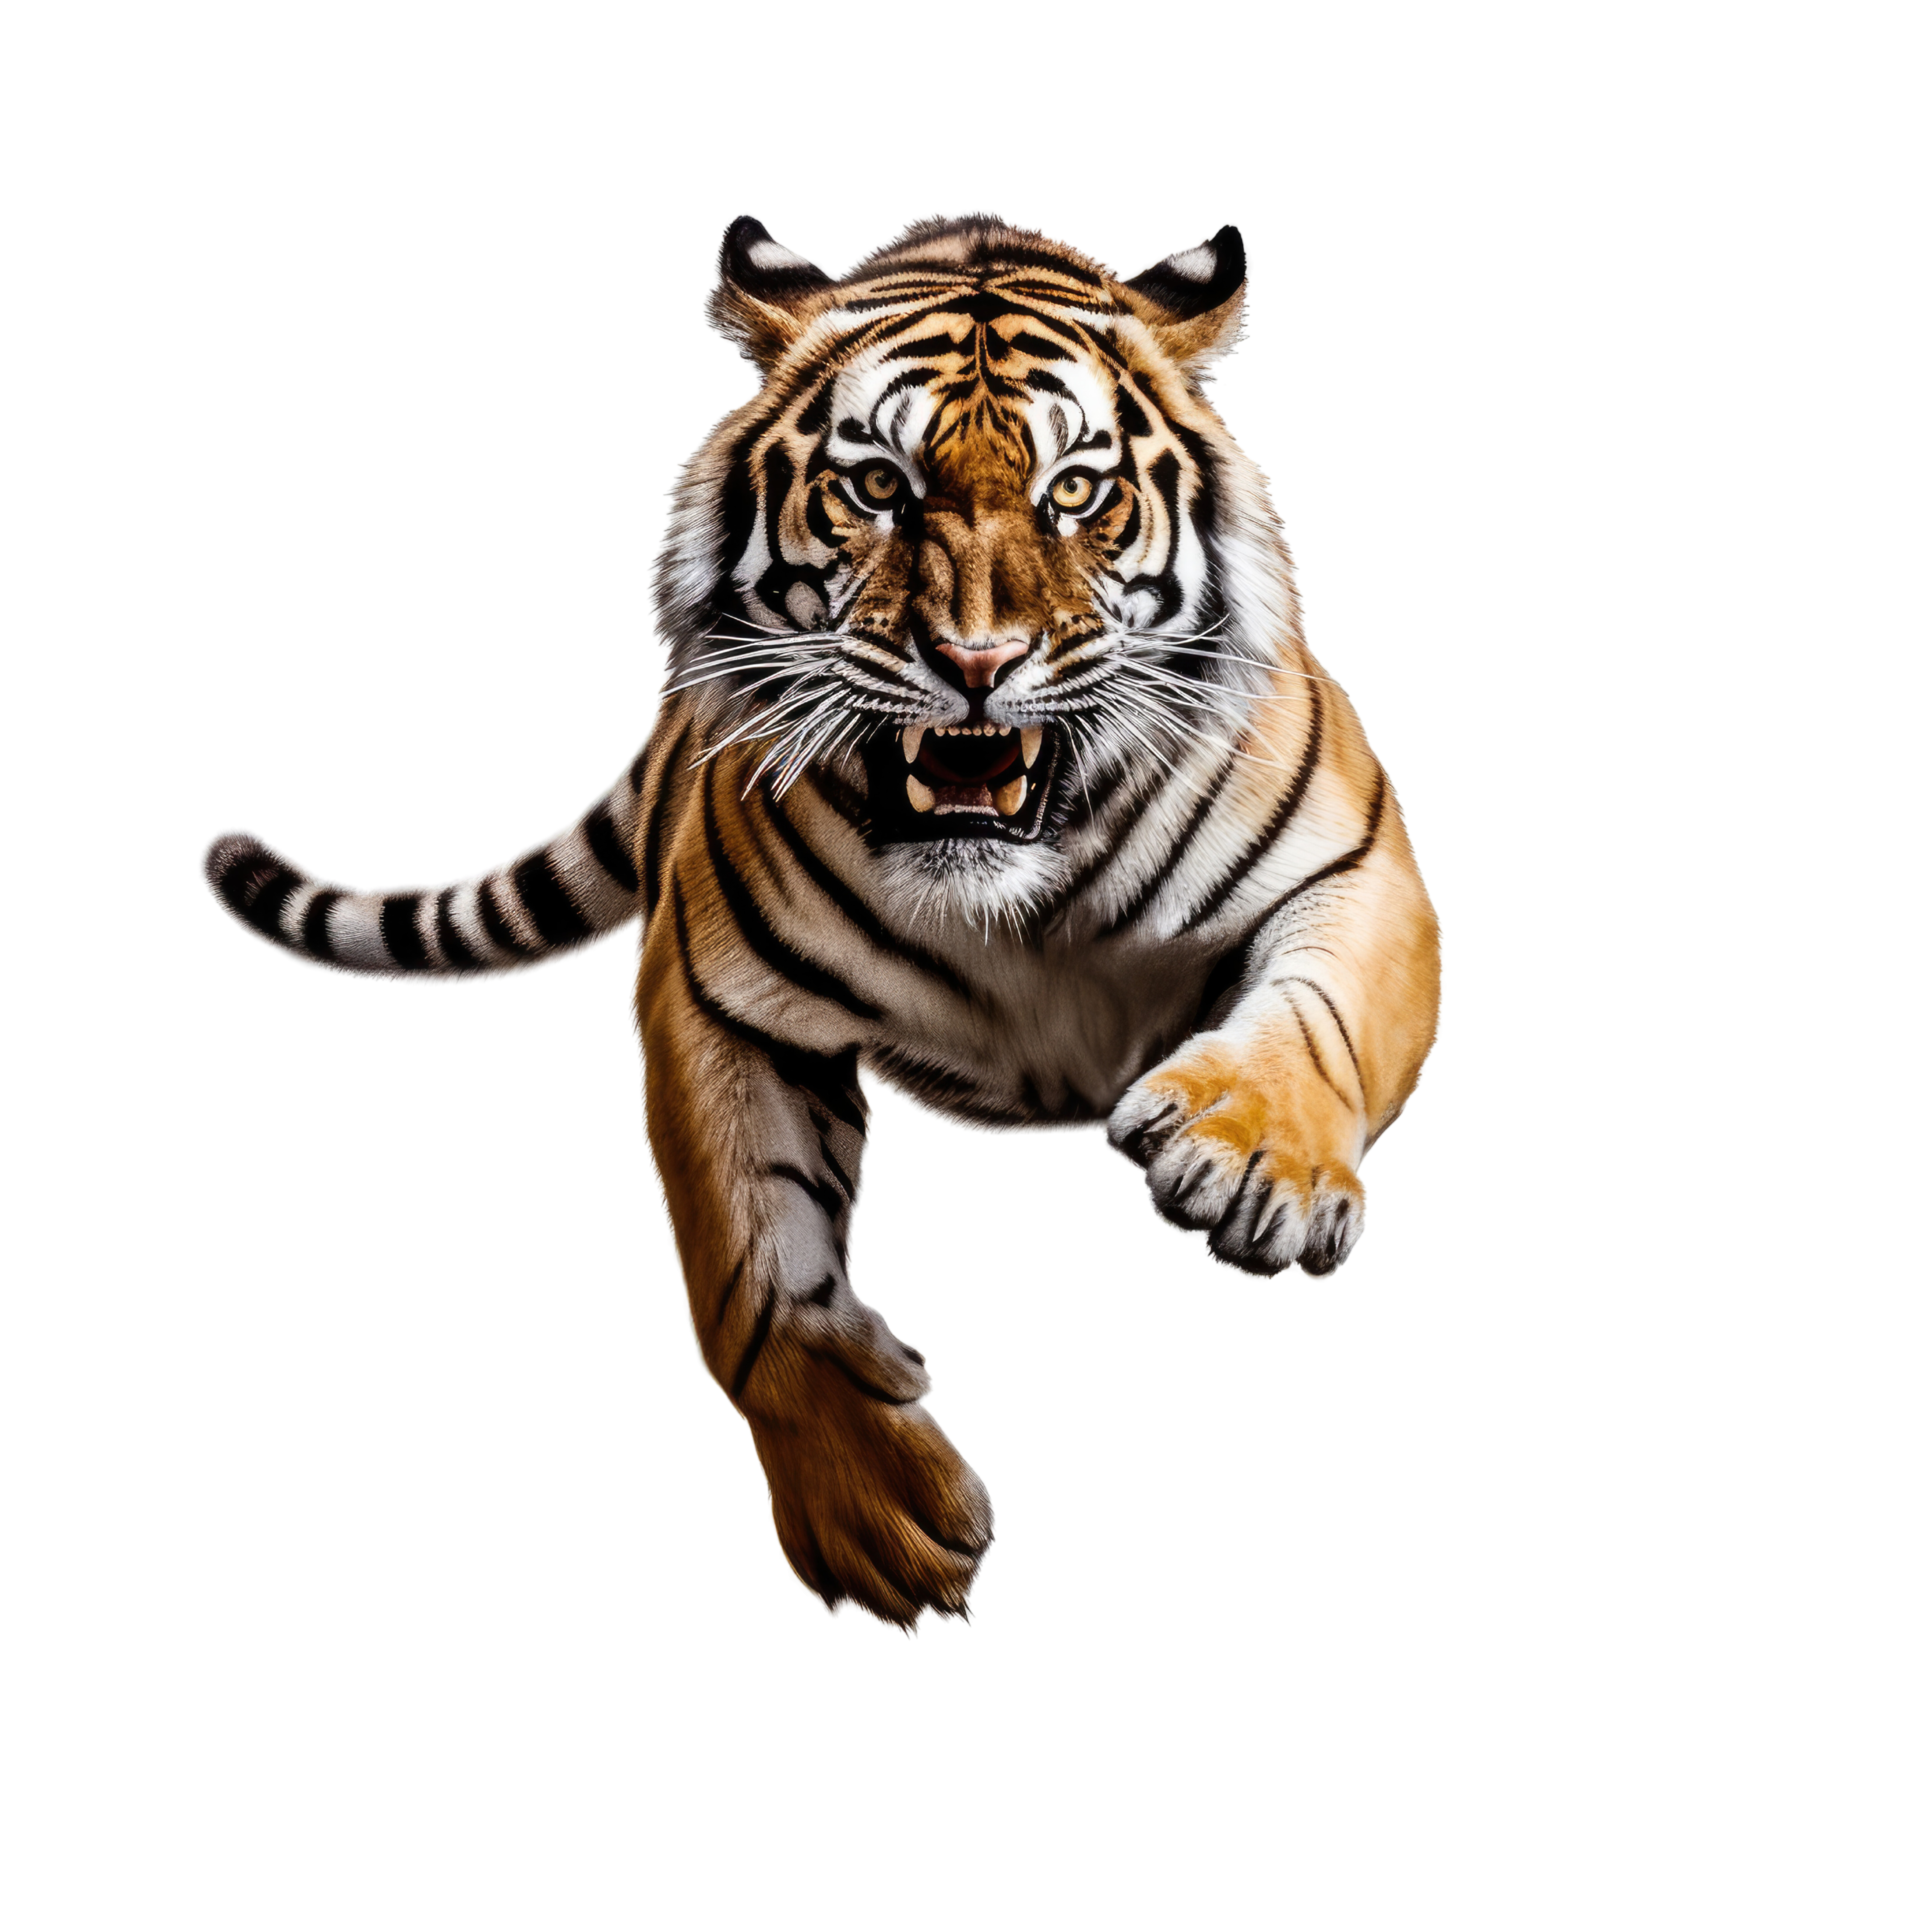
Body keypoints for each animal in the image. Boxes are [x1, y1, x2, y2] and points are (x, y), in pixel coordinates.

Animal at [198, 208, 1446, 1635]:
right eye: (880, 488)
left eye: (1077, 492)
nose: (977, 662)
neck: (1020, 894)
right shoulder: (714, 994)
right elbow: (757, 1276)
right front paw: (879, 1517)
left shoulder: (1364, 869)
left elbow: (1322, 1019)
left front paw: (1257, 1164)